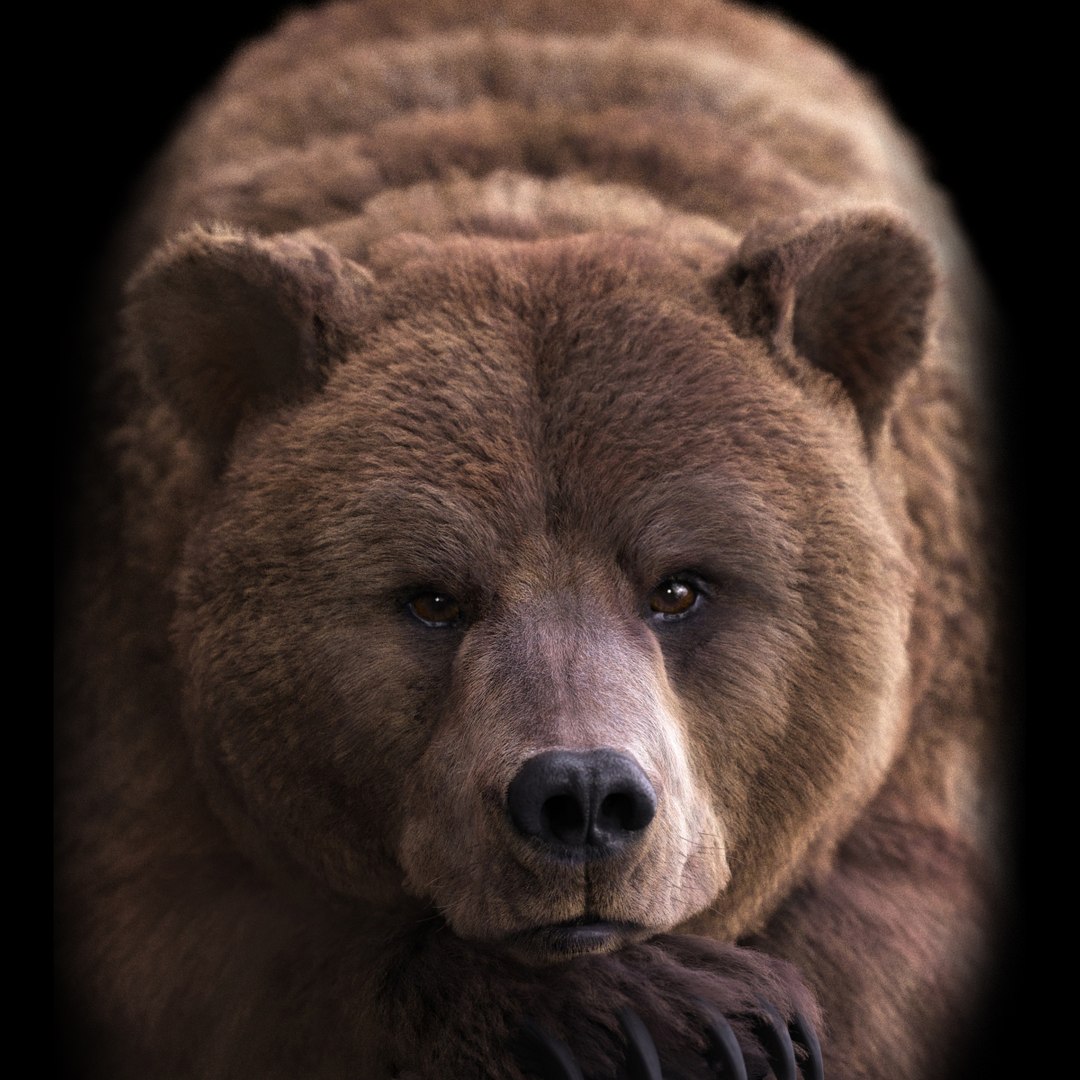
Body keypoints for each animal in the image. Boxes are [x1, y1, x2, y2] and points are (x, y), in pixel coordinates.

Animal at [55, 1, 1005, 1078]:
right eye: (432, 596)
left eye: (680, 586)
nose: (583, 797)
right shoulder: (137, 666)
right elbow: (195, 943)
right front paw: (656, 1005)